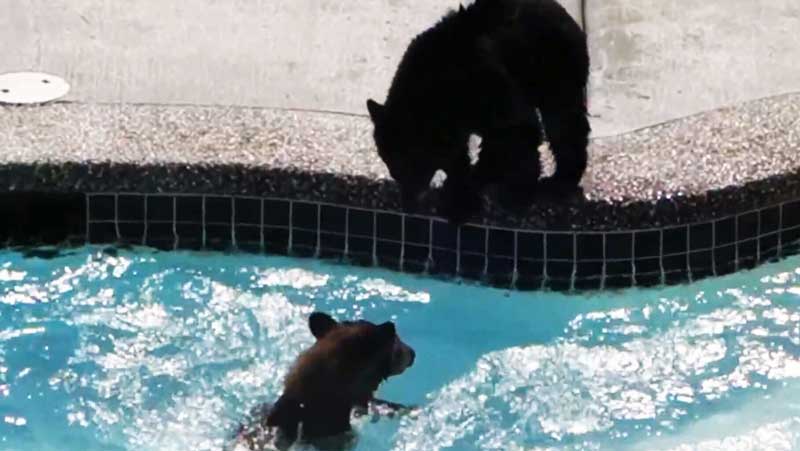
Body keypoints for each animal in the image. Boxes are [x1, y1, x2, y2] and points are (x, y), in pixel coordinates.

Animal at [367, 0, 591, 223]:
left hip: (556, 74)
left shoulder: (490, 88)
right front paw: (459, 193)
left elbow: (518, 133)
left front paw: (507, 194)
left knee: (564, 124)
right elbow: (459, 154)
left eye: (409, 161)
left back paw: (560, 182)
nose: (408, 204)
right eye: (389, 162)